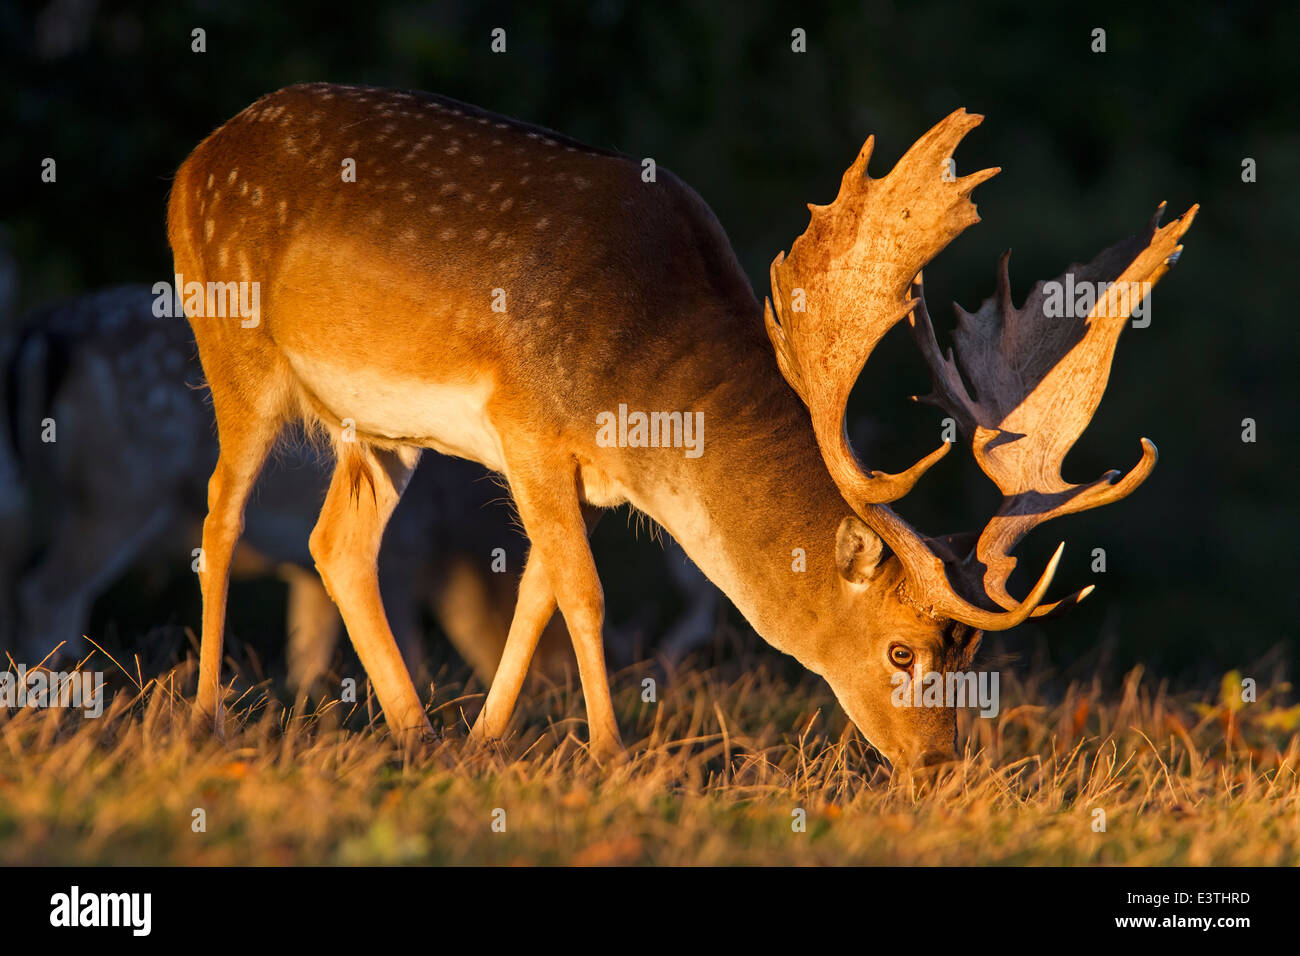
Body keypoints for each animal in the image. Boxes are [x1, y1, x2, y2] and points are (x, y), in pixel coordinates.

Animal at [168, 82, 1194, 770]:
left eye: (970, 651)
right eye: (900, 651)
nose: (938, 763)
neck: (647, 376)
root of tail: (192, 162)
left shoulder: (580, 468)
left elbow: (538, 592)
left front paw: (487, 741)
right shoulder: (525, 420)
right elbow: (583, 594)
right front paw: (610, 754)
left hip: (380, 426)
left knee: (335, 542)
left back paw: (414, 730)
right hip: (234, 340)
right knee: (219, 513)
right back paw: (205, 720)